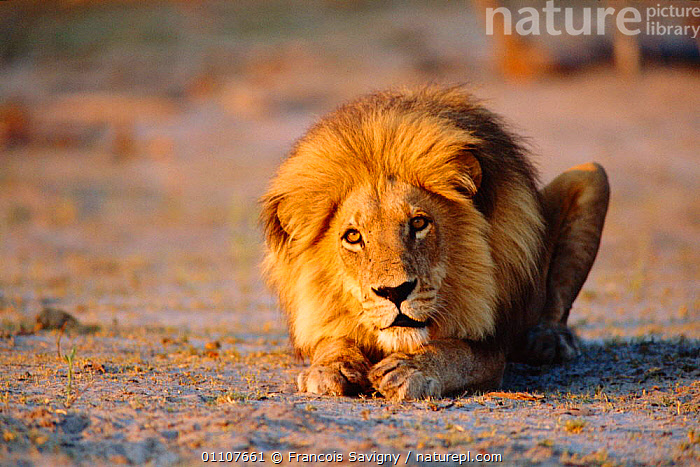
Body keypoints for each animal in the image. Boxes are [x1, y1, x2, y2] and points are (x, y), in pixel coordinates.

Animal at [261, 86, 609, 401]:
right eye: (353, 236)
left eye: (419, 223)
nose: (394, 292)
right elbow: (331, 342)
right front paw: (331, 367)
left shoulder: (491, 345)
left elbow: (457, 352)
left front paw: (410, 369)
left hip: (591, 174)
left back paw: (547, 340)